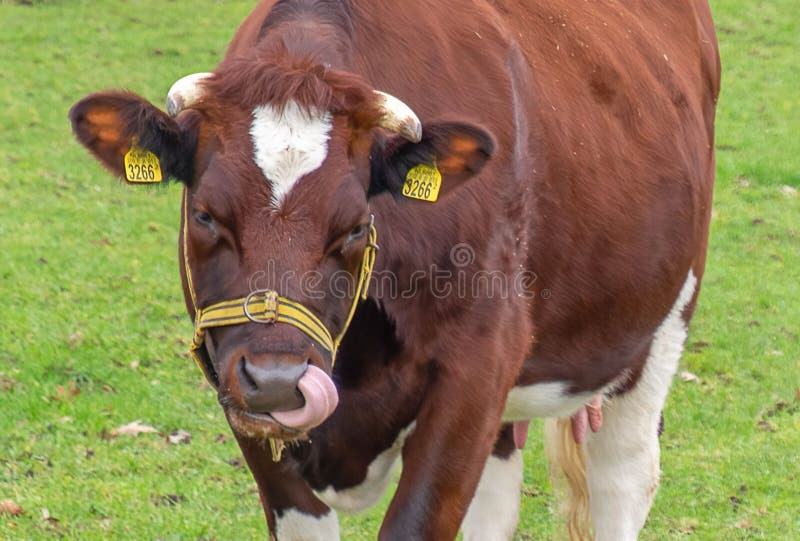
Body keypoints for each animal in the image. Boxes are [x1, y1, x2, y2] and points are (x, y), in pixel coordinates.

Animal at [69, 1, 720, 539]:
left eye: (357, 225)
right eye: (204, 214)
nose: (278, 380)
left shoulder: (478, 364)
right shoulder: (233, 386)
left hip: (661, 321)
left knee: (623, 476)